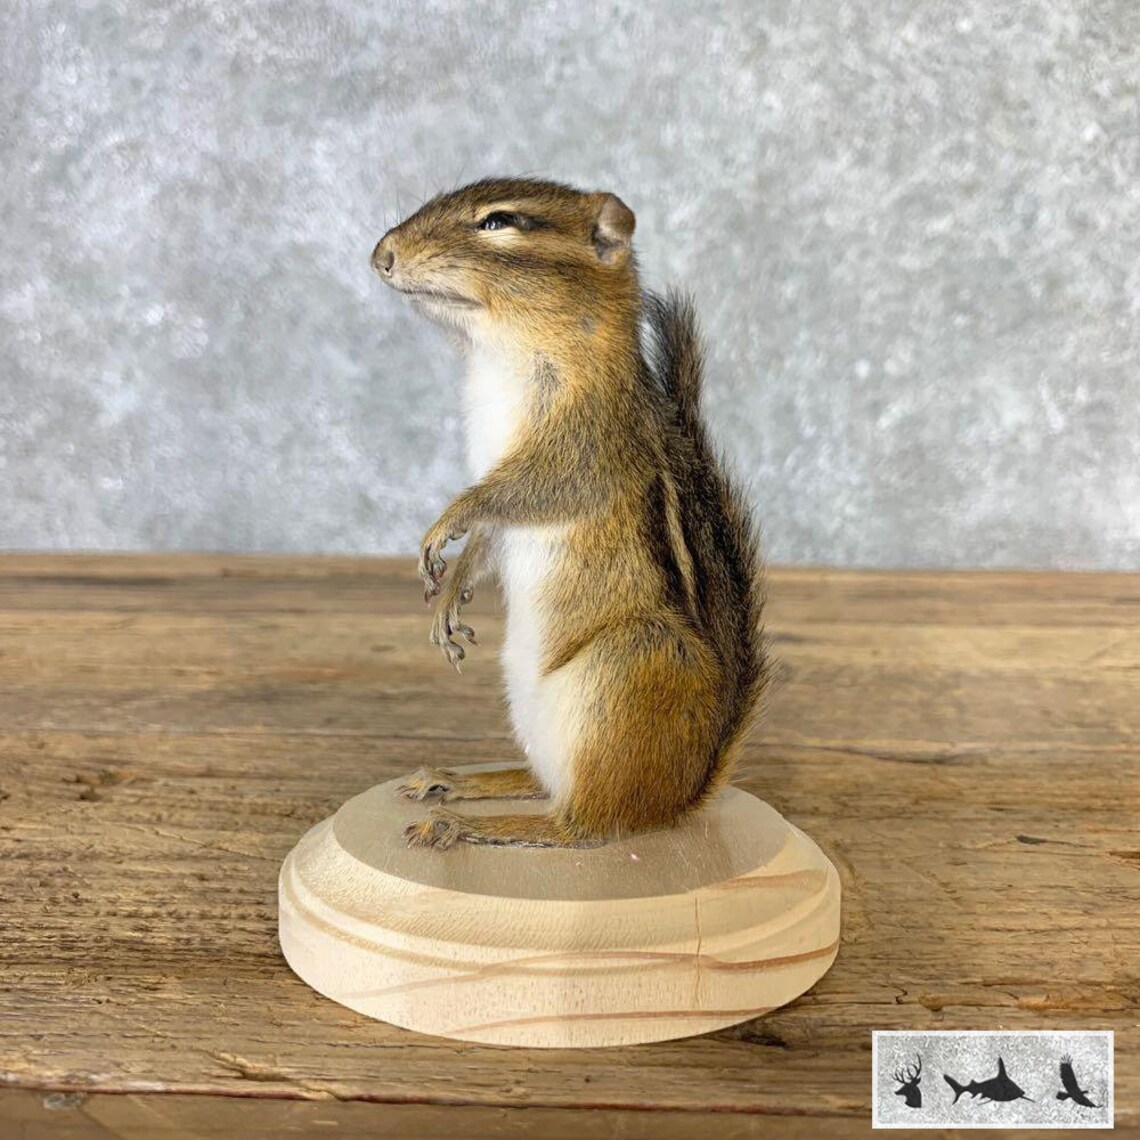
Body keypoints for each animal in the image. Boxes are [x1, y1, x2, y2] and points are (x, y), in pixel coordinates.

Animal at [371, 178, 767, 850]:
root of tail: (681, 795)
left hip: (628, 669)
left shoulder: (586, 445)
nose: (382, 256)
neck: (499, 355)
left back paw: (463, 823)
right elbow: (491, 537)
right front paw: (452, 589)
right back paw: (460, 782)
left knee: (580, 824)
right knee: (547, 788)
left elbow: (520, 493)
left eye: (497, 222)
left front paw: (447, 523)